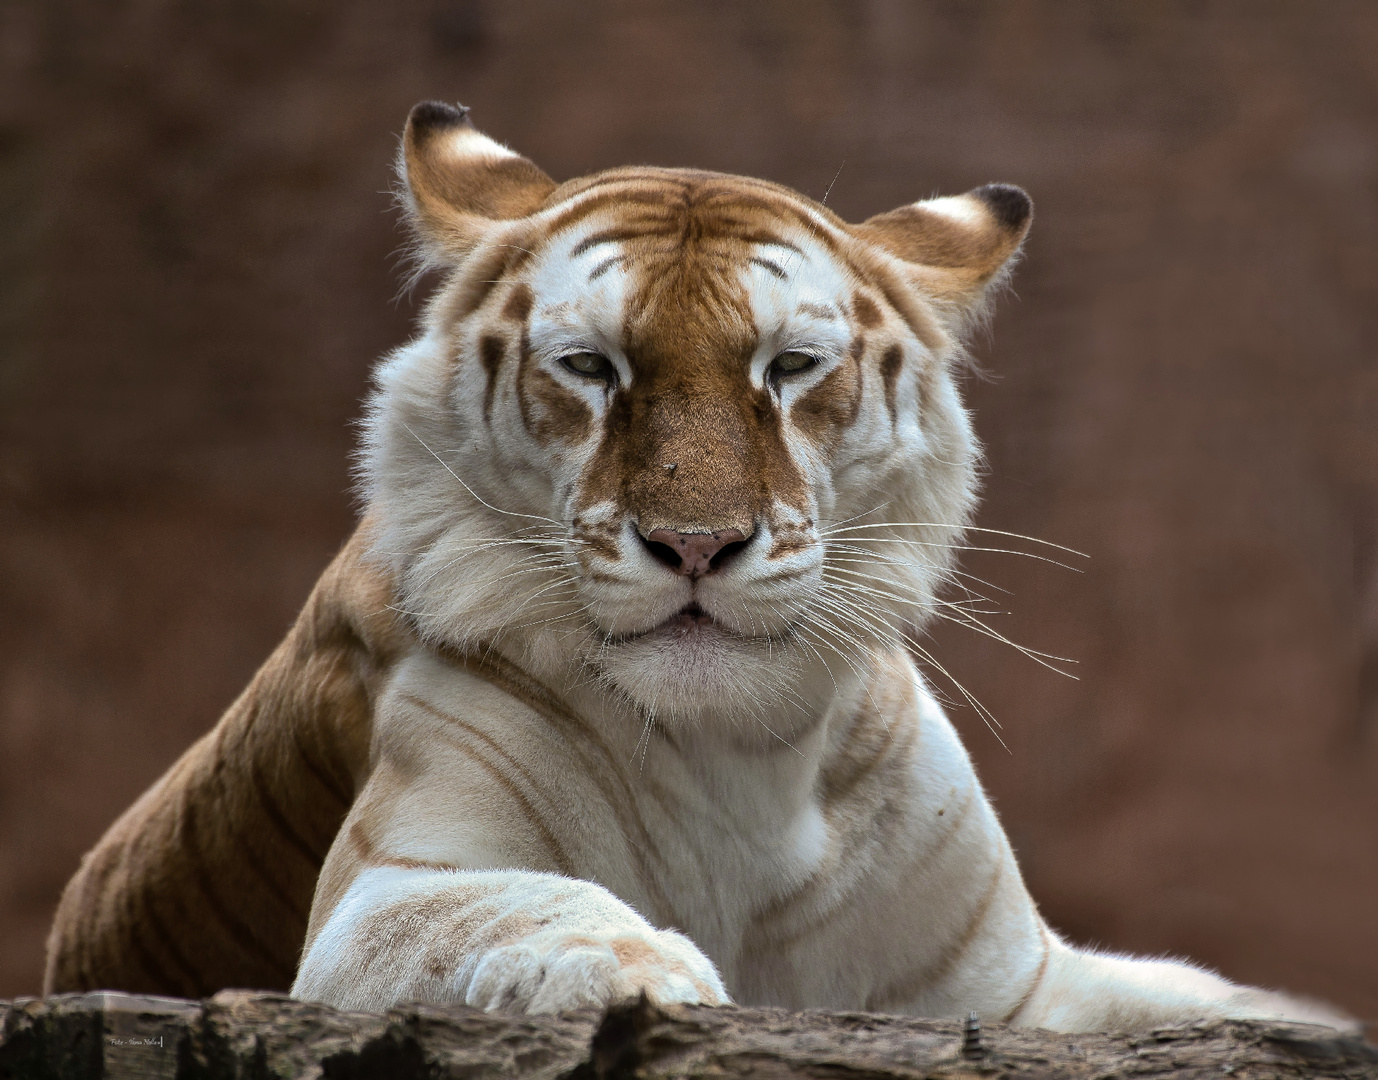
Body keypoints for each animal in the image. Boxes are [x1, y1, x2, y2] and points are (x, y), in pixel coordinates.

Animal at [44, 101, 1354, 1034]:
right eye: (589, 366)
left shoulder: (1017, 985)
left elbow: (1241, 1005)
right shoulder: (390, 887)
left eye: (789, 367)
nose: (695, 544)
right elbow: (525, 905)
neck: (747, 756)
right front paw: (642, 976)